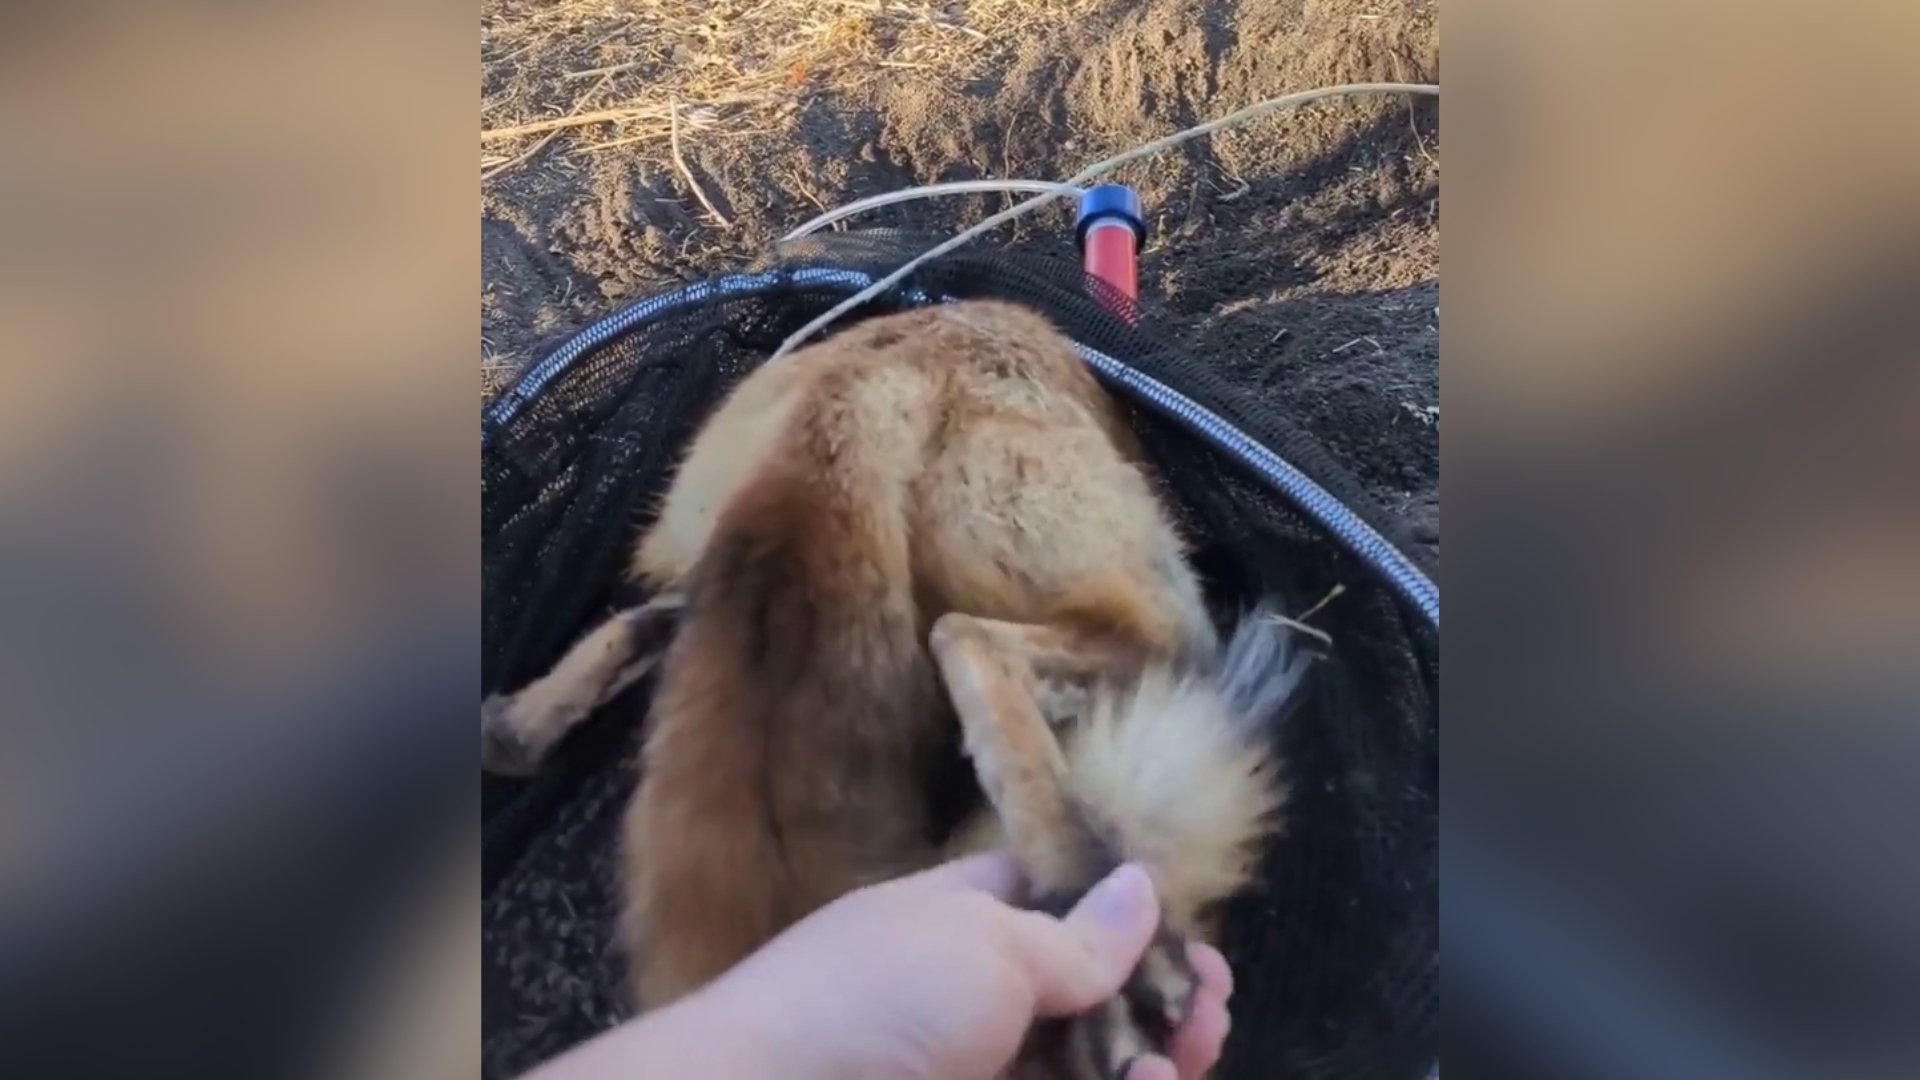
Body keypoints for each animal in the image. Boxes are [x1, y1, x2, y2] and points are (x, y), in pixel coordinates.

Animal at [481, 299, 1311, 1077]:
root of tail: (893, 359)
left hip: (710, 555)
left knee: (643, 623)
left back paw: (515, 727)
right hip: (1169, 616)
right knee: (972, 642)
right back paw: (1091, 903)